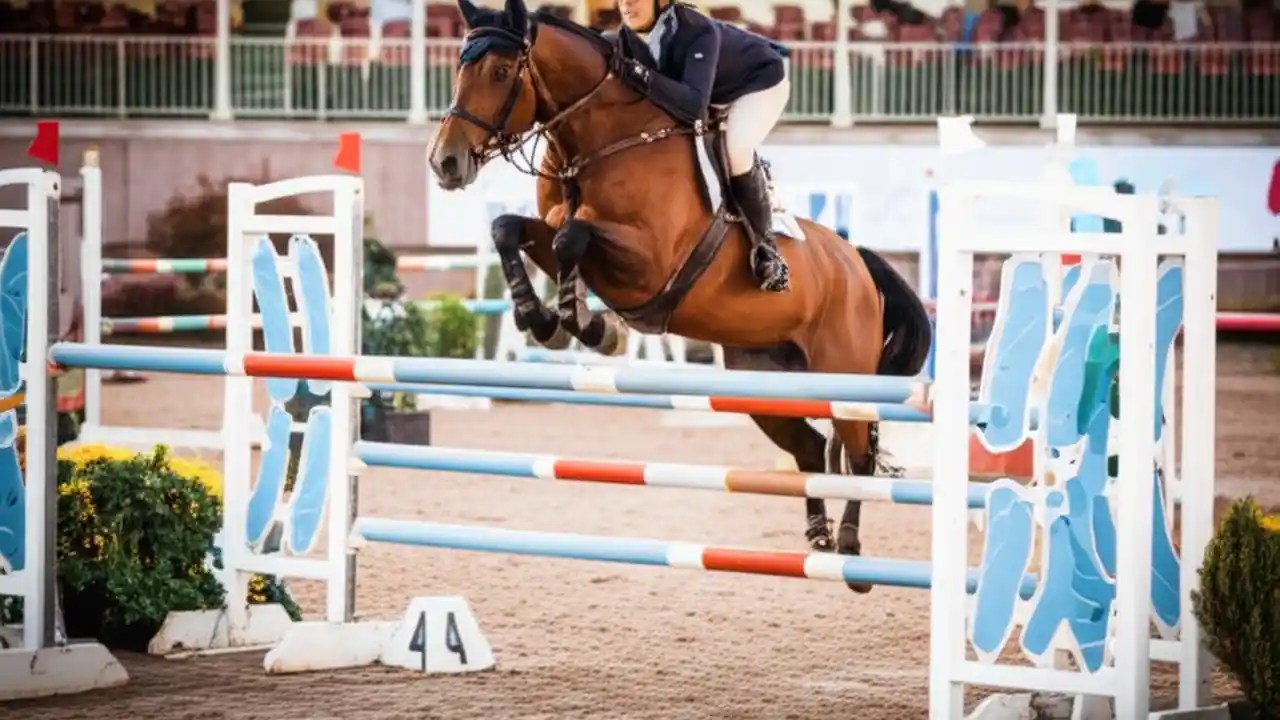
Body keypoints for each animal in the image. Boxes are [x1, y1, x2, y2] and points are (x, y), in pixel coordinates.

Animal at [427, 0, 932, 592]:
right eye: (459, 68)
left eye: (502, 72)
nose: (444, 163)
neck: (597, 141)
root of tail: (857, 262)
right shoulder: (560, 234)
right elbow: (512, 228)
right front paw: (552, 321)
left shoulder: (649, 261)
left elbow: (571, 236)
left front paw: (587, 324)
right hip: (763, 381)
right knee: (812, 449)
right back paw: (818, 539)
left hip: (844, 375)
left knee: (860, 455)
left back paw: (851, 553)